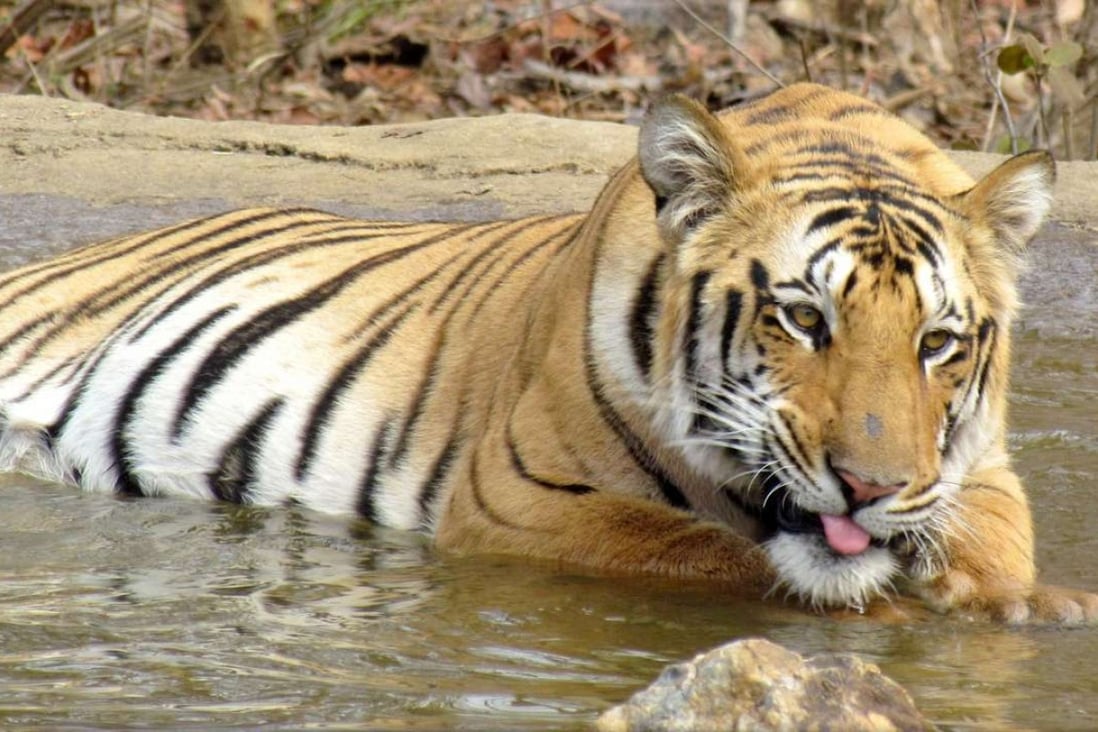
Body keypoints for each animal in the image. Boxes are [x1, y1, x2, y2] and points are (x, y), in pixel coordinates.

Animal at [0, 82, 1094, 622]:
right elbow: (712, 553)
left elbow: (996, 543)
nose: (869, 489)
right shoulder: (517, 497)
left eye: (937, 343)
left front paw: (1030, 607)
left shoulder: (978, 469)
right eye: (802, 319)